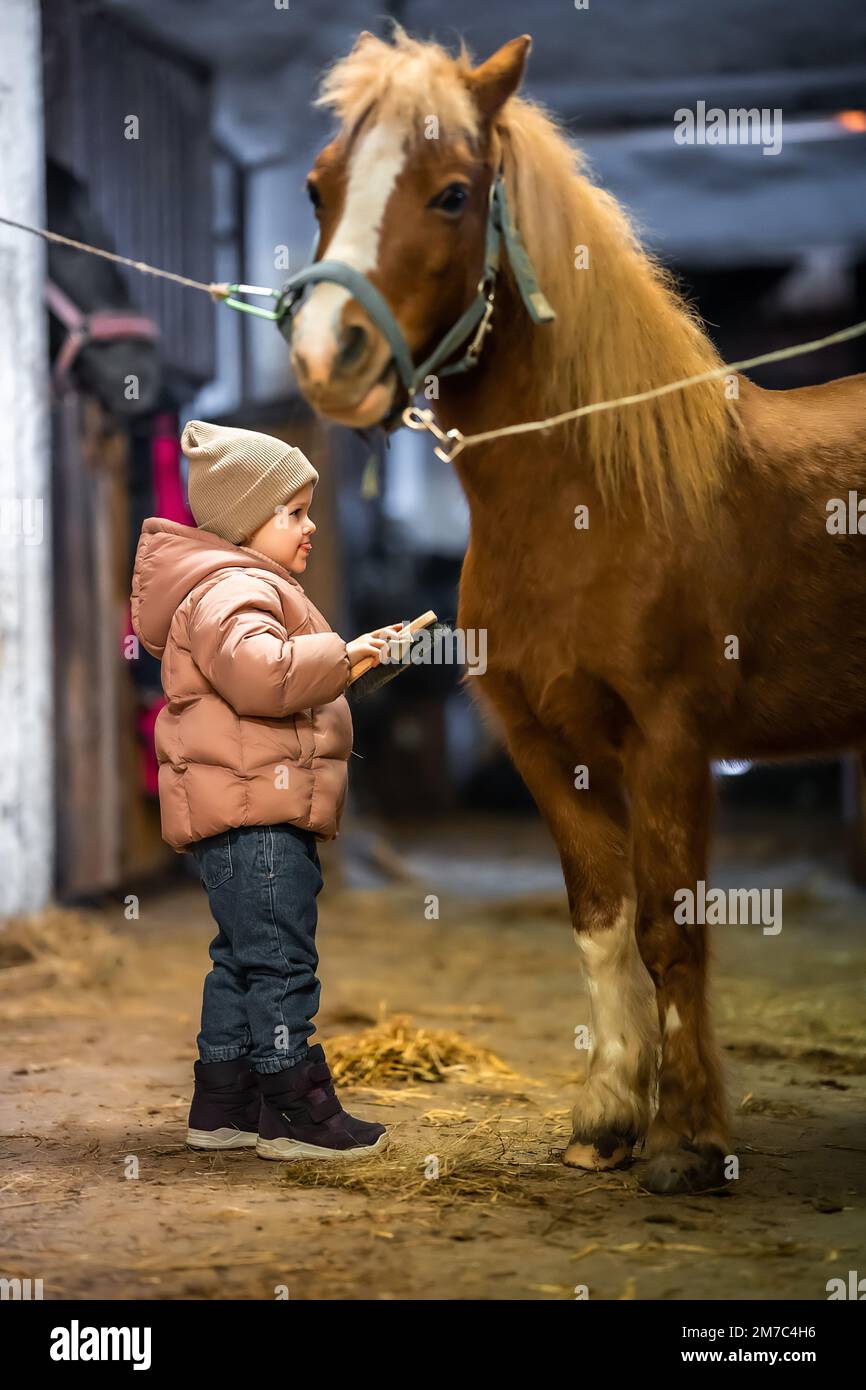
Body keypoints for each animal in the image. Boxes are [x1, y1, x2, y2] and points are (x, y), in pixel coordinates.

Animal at [284, 24, 866, 1193]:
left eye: (453, 194)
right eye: (320, 185)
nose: (328, 358)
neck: (597, 497)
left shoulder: (669, 740)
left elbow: (671, 928)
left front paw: (686, 1140)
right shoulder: (543, 743)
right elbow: (600, 920)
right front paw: (606, 1118)